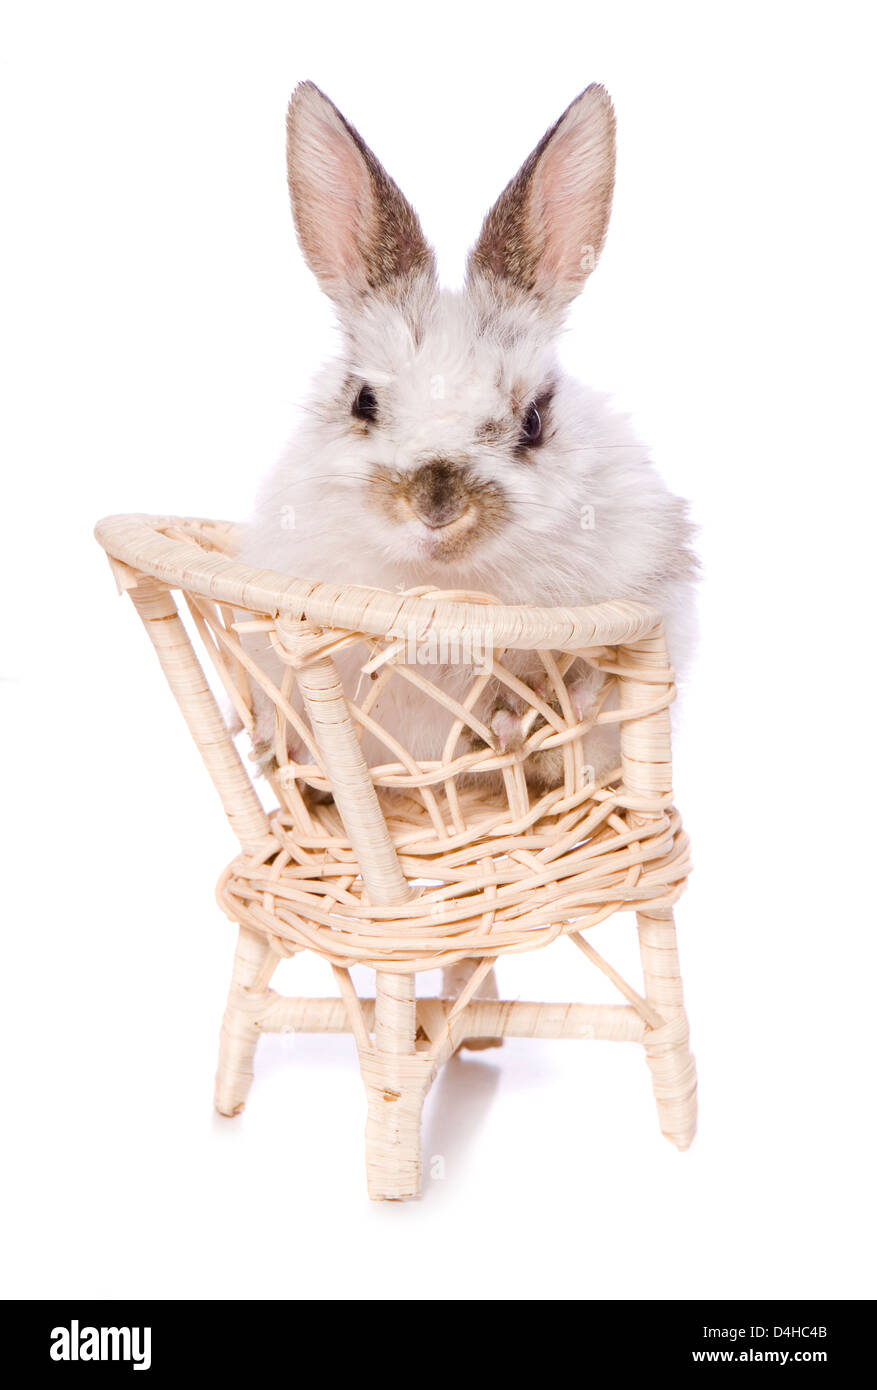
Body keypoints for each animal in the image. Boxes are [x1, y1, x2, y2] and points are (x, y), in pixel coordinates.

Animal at [240, 81, 697, 1011]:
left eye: (534, 419)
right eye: (364, 402)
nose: (436, 504)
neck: (442, 589)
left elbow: (574, 695)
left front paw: (520, 721)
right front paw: (277, 748)